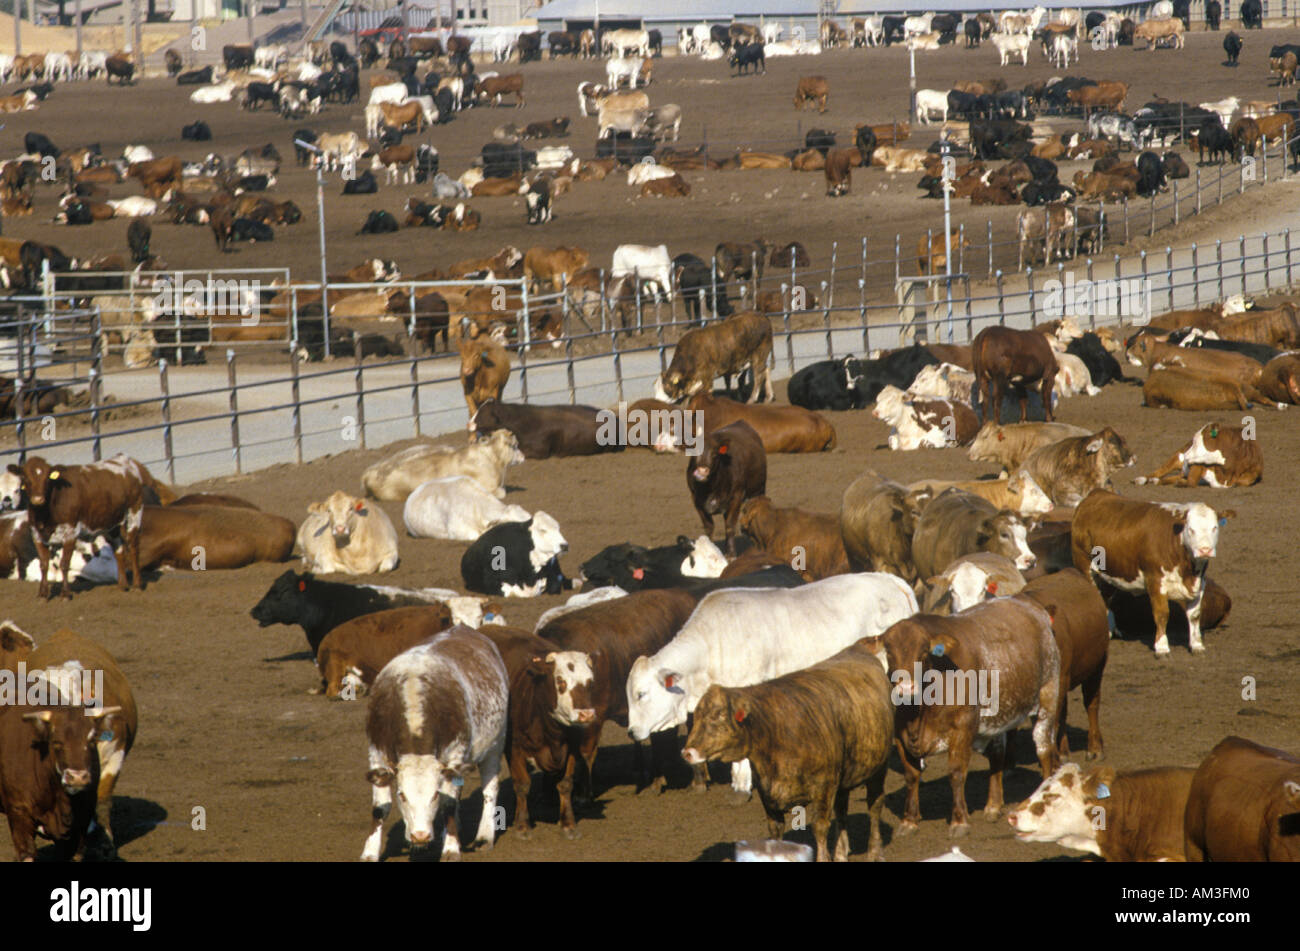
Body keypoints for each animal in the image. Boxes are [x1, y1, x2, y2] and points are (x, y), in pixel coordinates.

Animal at [361, 627, 508, 861]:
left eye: (435, 794)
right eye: (401, 795)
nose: (420, 835)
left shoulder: (455, 753)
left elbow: (448, 804)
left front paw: (451, 848)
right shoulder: (376, 754)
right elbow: (380, 808)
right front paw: (370, 852)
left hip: (496, 744)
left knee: (489, 788)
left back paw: (484, 835)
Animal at [682, 641, 894, 861]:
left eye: (719, 715)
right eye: (695, 717)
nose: (688, 752)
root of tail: (861, 648)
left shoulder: (824, 787)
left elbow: (820, 829)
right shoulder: (768, 796)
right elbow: (776, 832)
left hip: (879, 768)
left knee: (875, 805)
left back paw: (874, 852)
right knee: (842, 810)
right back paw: (841, 853)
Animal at [861, 597, 1060, 834]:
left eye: (923, 652)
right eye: (889, 652)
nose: (907, 688)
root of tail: (1031, 606)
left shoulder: (962, 728)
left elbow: (956, 774)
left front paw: (959, 821)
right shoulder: (900, 735)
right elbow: (911, 775)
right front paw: (909, 820)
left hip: (1048, 694)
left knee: (1044, 749)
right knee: (997, 755)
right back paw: (993, 806)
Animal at [1072, 490, 1234, 655]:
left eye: (1214, 527)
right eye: (1191, 529)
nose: (1205, 550)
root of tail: (1096, 494)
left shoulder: (1200, 581)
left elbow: (1195, 615)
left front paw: (1196, 644)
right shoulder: (1155, 580)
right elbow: (1162, 614)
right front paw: (1161, 646)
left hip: (1109, 574)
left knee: (1105, 598)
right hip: (1084, 565)